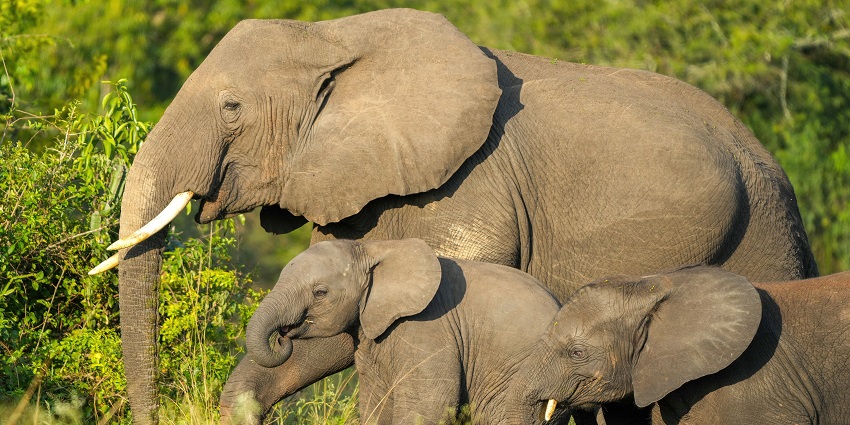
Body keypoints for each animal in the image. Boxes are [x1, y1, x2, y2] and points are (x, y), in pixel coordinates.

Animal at [242, 238, 563, 424]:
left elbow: (427, 405)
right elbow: (376, 406)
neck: (373, 248)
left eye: (320, 293)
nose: (282, 337)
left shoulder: (427, 330)